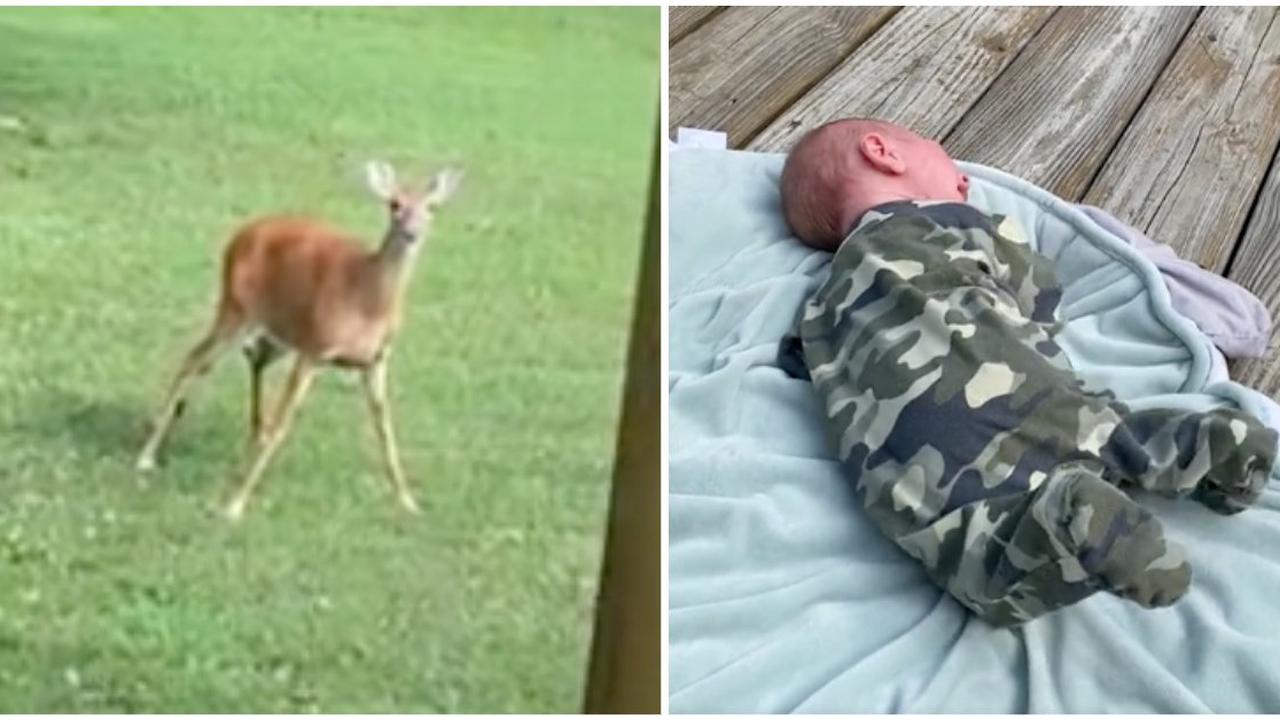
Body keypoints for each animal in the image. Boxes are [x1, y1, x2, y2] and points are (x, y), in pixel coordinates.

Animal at [135, 160, 462, 520]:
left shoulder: (377, 358)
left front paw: (409, 503)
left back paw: (252, 434)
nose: (412, 233)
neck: (366, 302)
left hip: (277, 331)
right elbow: (283, 424)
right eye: (394, 205)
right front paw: (234, 506)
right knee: (193, 360)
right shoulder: (314, 348)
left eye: (432, 207)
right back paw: (146, 457)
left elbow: (385, 430)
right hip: (236, 309)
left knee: (254, 358)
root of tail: (239, 236)